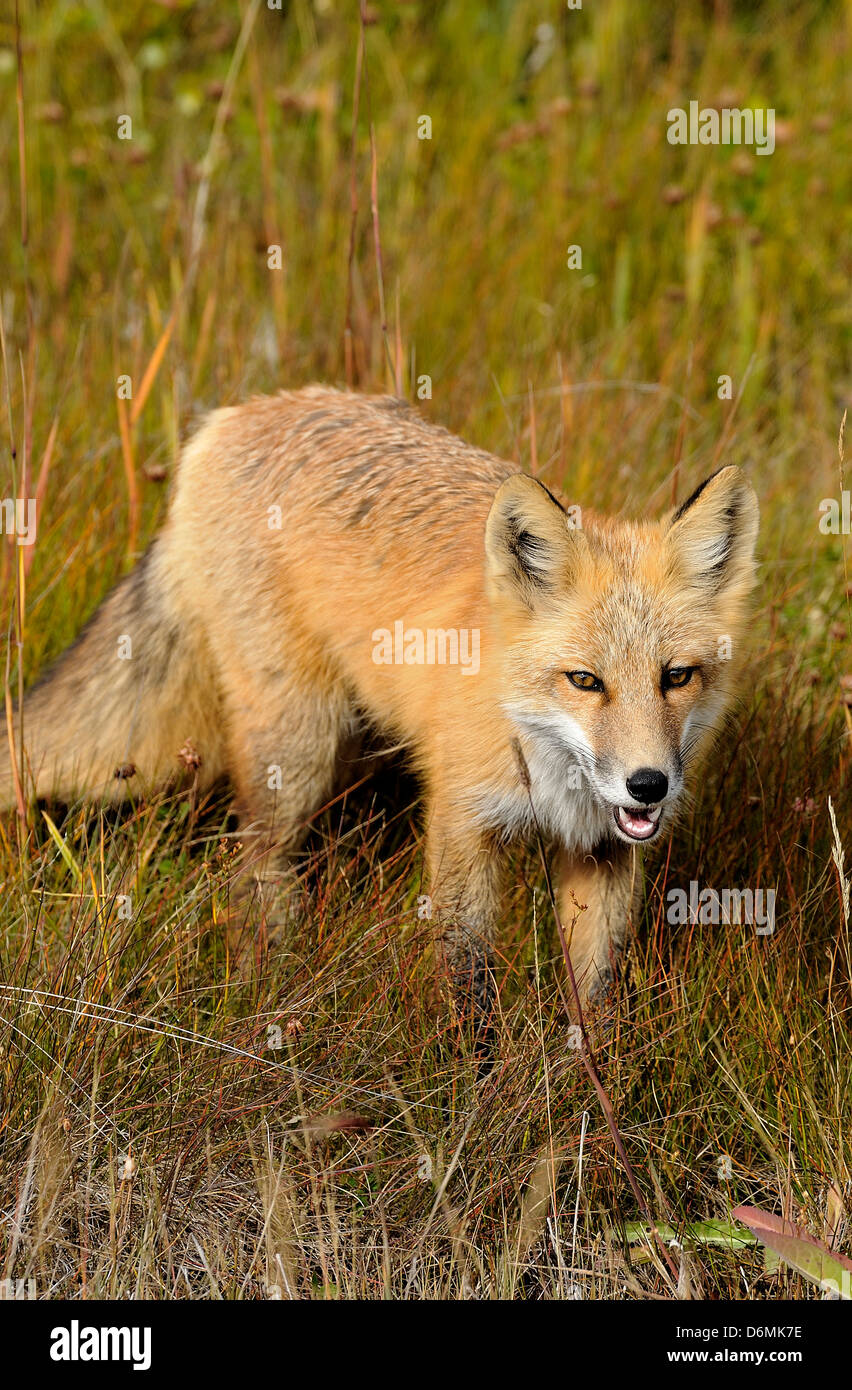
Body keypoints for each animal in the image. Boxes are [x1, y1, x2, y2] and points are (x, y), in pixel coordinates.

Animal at [2, 387, 759, 1015]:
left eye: (676, 677)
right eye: (585, 681)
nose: (648, 785)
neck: (538, 755)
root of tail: (236, 415)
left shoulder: (601, 853)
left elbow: (596, 1002)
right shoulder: (462, 824)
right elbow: (467, 986)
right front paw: (471, 1089)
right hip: (296, 754)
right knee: (255, 869)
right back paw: (273, 979)